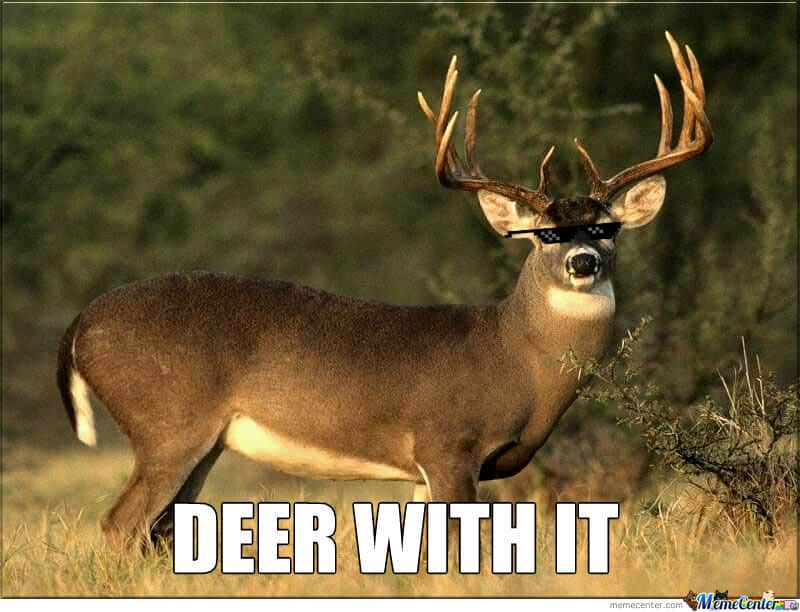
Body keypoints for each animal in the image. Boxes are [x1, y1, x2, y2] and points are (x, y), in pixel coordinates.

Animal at [57, 32, 711, 547]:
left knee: (160, 529)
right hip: (168, 421)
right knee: (121, 524)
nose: (582, 262)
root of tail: (80, 325)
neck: (516, 358)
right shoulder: (447, 443)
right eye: (545, 233)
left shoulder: (425, 471)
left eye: (606, 228)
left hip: (203, 441)